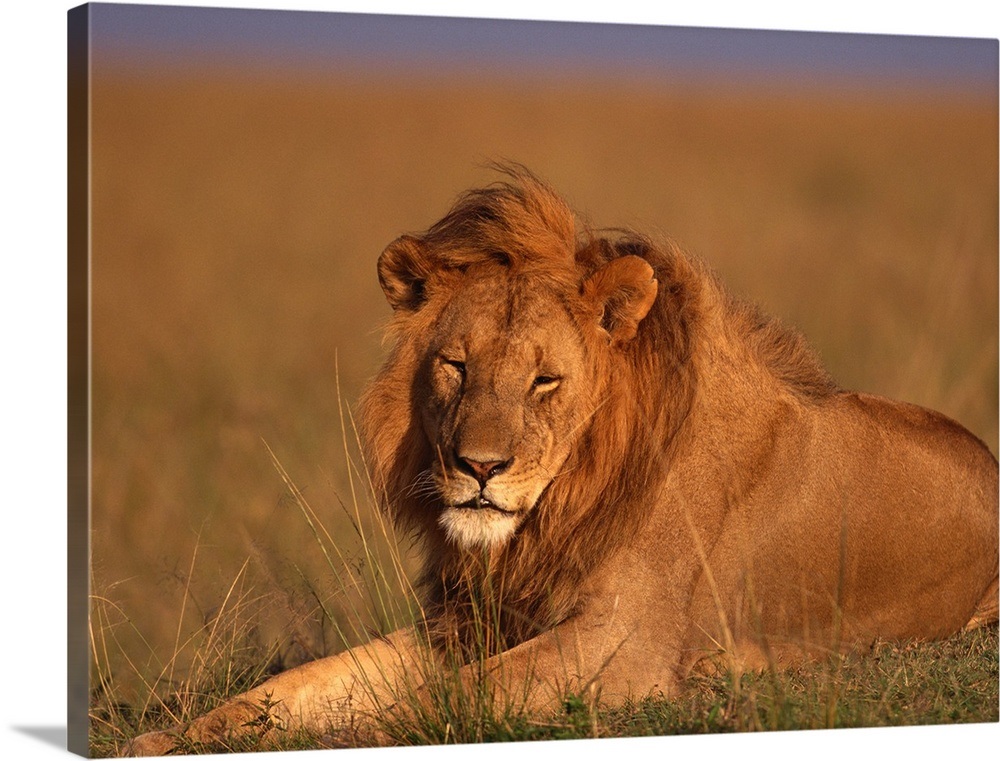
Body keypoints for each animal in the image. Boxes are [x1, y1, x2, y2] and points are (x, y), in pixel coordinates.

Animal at [123, 165, 999, 755]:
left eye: (545, 379)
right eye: (456, 366)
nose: (478, 467)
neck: (562, 504)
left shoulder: (625, 646)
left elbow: (439, 701)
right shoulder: (468, 620)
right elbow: (298, 685)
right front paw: (169, 738)